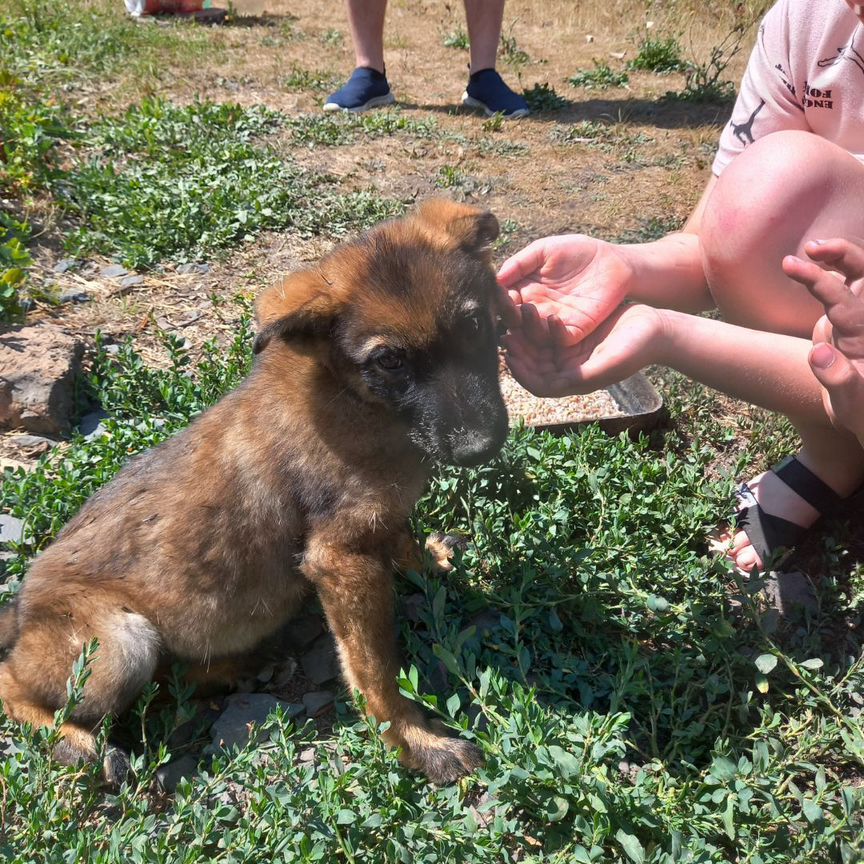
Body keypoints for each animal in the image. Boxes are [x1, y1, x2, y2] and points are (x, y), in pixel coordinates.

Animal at [0, 199, 506, 788]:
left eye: (475, 324)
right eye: (389, 361)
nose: (481, 446)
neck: (354, 398)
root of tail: (21, 610)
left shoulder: (379, 523)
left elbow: (402, 537)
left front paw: (430, 564)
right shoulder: (341, 559)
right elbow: (376, 671)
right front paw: (416, 743)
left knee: (172, 678)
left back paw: (243, 667)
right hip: (122, 642)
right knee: (16, 687)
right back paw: (77, 744)